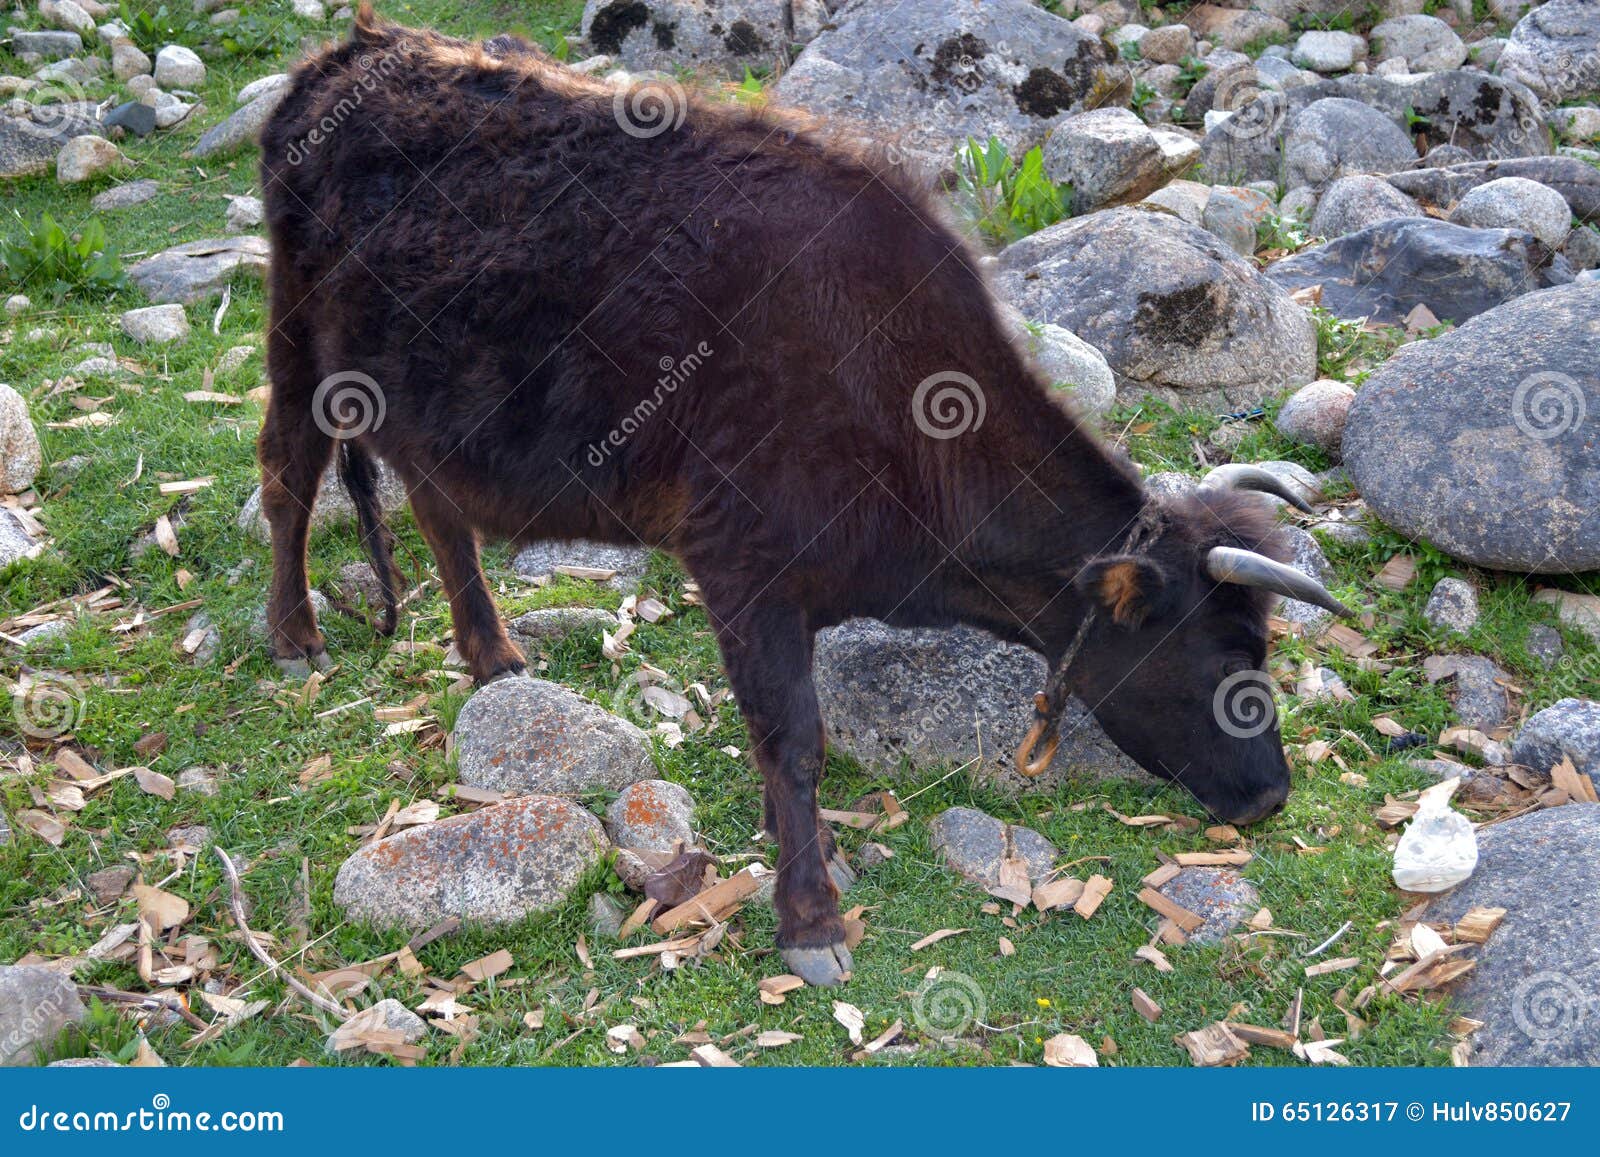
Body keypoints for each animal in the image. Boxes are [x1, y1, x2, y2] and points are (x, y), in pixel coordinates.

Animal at [258, 6, 1351, 985]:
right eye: (1228, 658)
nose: (1270, 797)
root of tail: (354, 53)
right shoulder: (740, 567)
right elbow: (793, 741)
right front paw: (810, 917)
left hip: (414, 396)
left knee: (437, 505)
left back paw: (491, 654)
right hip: (297, 332)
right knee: (287, 471)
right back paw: (297, 634)